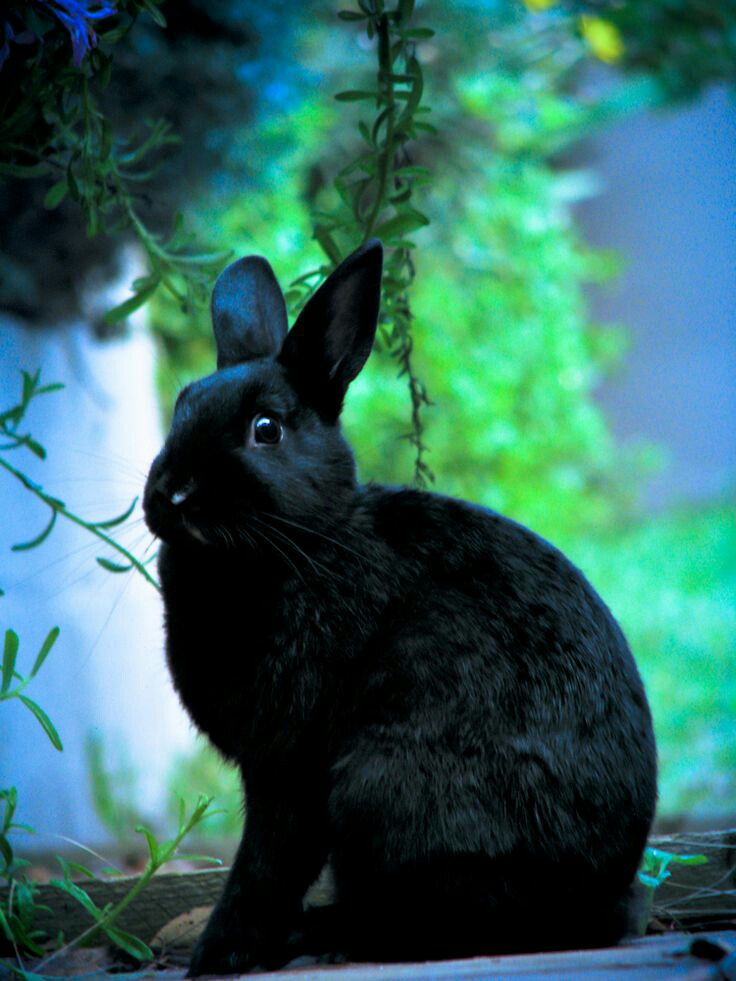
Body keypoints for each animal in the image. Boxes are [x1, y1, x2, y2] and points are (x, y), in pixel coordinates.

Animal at [143, 239, 657, 976]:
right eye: (181, 405)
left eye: (265, 428)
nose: (172, 493)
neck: (305, 544)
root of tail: (600, 896)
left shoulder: (287, 768)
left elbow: (266, 865)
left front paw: (218, 955)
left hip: (377, 788)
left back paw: (326, 934)